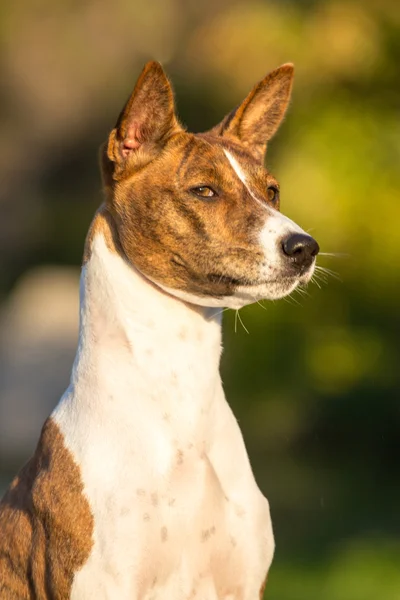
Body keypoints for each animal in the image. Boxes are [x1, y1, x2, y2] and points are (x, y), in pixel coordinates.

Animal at [0, 62, 318, 600]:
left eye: (271, 191)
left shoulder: (243, 584)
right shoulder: (105, 585)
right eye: (204, 191)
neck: (181, 410)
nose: (304, 247)